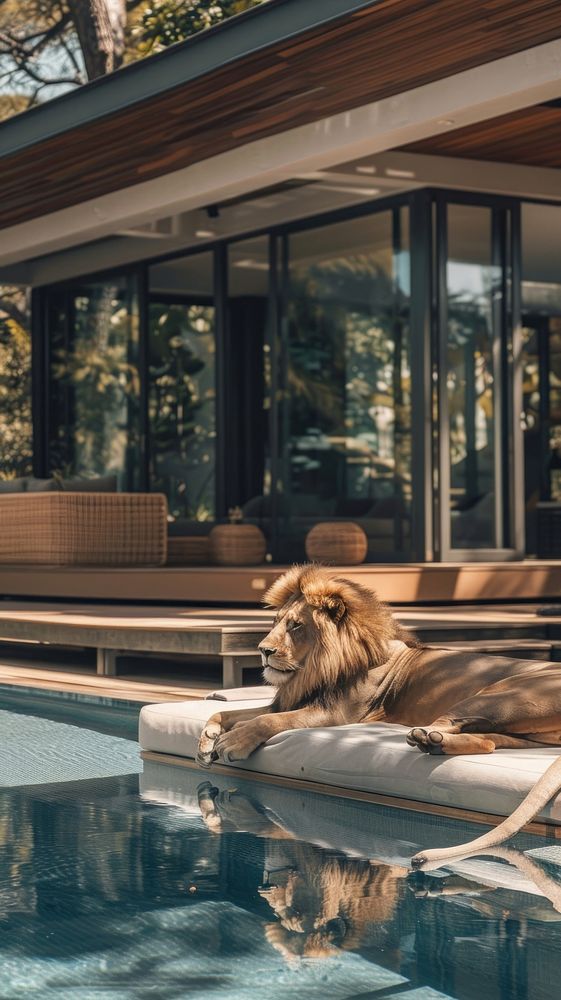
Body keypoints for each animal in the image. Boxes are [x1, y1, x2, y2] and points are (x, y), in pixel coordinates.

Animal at [197, 564, 561, 866]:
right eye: (274, 623)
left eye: (296, 625)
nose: (262, 650)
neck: (313, 670)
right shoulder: (292, 701)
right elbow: (225, 711)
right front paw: (206, 741)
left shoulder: (336, 714)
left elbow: (263, 721)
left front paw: (231, 743)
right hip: (517, 726)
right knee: (489, 743)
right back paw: (437, 743)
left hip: (497, 695)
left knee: (447, 724)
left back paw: (422, 737)